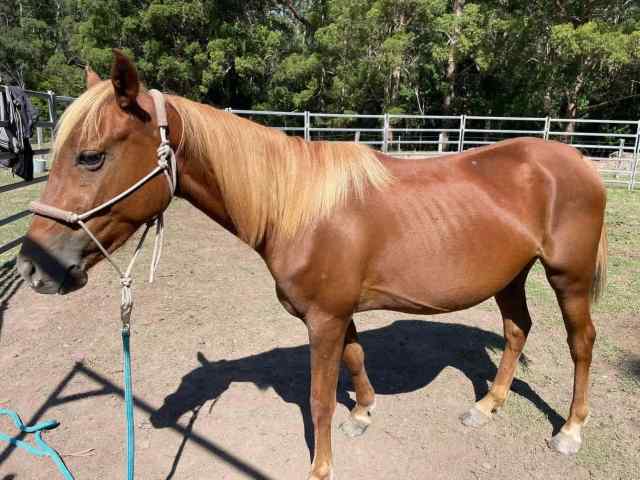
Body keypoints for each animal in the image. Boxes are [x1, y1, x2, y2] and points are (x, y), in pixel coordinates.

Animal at [17, 50, 606, 480]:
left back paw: (571, 431)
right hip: (511, 275)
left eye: (91, 156)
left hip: (568, 276)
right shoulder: (338, 315)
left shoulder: (323, 319)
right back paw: (487, 406)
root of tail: (576, 161)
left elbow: (320, 398)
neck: (298, 210)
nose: (32, 269)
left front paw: (321, 467)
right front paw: (363, 414)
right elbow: (356, 359)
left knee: (581, 343)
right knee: (516, 330)